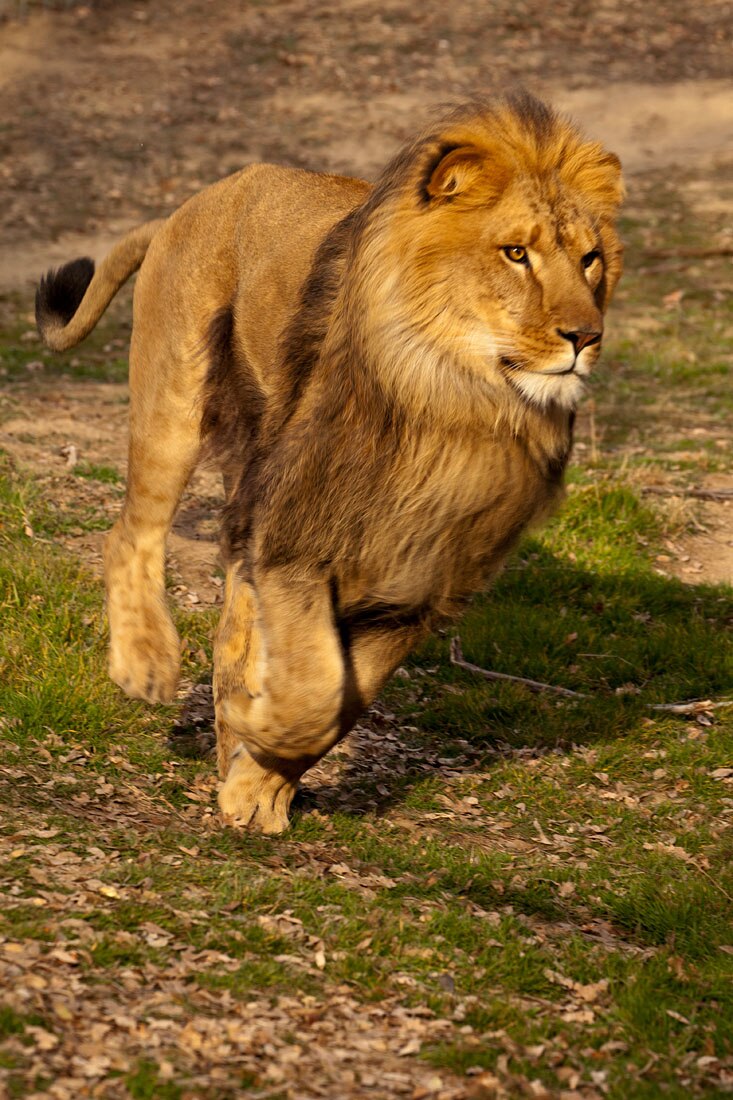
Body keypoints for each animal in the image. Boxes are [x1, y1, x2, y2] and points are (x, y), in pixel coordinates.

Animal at [36, 92, 623, 833]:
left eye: (590, 259)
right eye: (516, 253)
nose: (585, 336)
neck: (459, 410)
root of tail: (197, 199)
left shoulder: (416, 584)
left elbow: (348, 698)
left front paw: (257, 782)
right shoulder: (297, 536)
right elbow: (317, 689)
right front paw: (258, 732)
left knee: (232, 611)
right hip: (175, 397)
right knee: (130, 533)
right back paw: (146, 665)